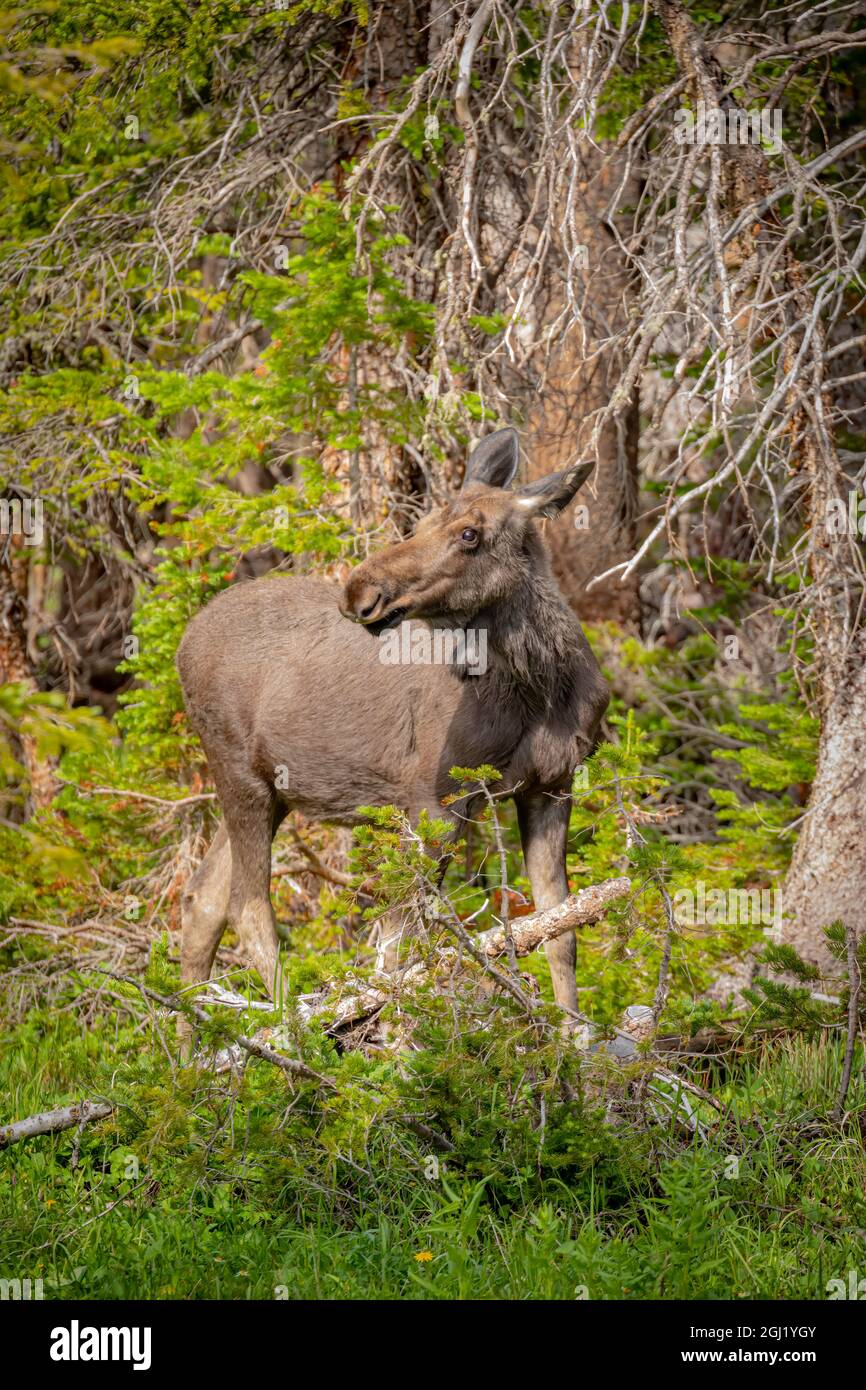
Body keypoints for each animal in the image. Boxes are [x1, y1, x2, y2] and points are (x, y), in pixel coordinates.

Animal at [176, 427, 609, 1033]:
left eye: (470, 533)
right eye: (422, 521)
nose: (360, 591)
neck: (542, 689)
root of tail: (181, 644)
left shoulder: (553, 785)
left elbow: (560, 928)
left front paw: (573, 1039)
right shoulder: (434, 795)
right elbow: (403, 944)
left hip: (269, 788)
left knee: (203, 900)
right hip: (239, 773)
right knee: (248, 904)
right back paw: (293, 1035)